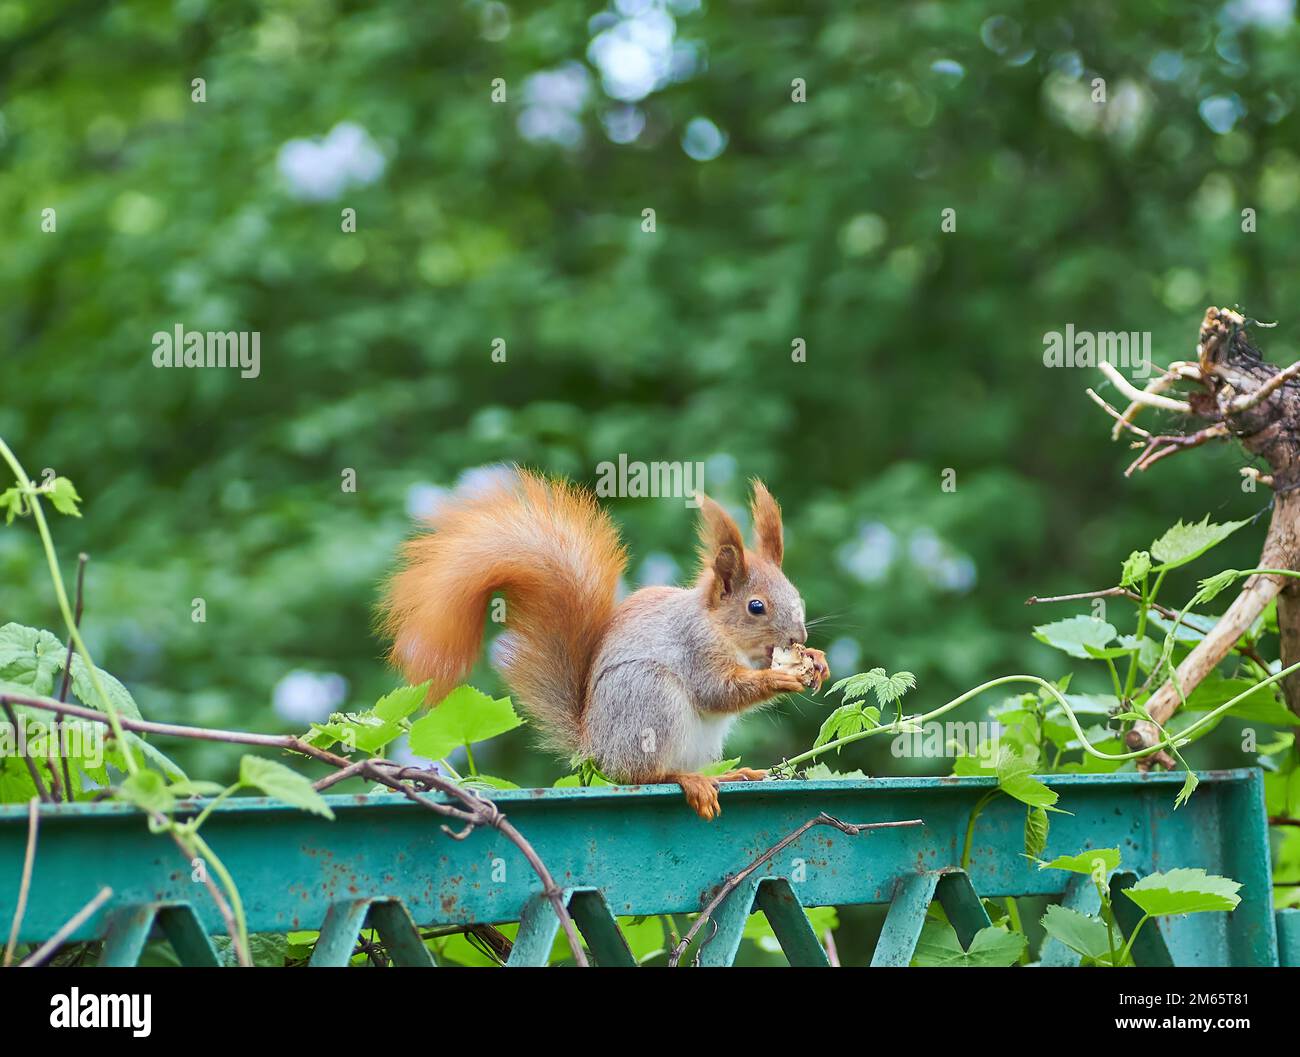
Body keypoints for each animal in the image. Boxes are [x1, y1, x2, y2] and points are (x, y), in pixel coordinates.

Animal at [381, 469, 828, 820]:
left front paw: (816, 661)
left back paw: (730, 773)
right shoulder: (694, 647)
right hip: (650, 700)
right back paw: (689, 781)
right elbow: (717, 691)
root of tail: (594, 746)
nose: (799, 638)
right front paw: (780, 678)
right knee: (642, 775)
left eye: (796, 595)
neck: (719, 629)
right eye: (756, 607)